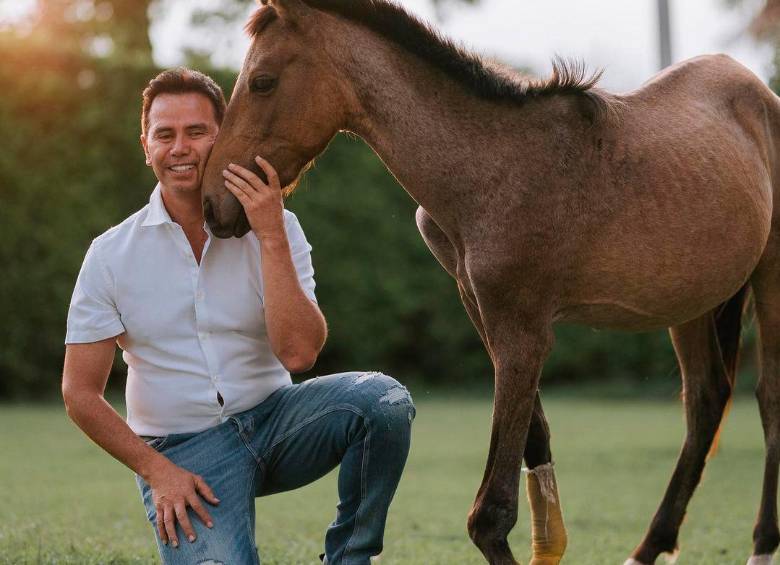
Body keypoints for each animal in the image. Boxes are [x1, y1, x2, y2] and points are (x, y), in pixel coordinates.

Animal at [200, 1, 780, 563]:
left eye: (263, 82)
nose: (212, 204)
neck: (488, 166)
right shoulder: (487, 314)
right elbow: (534, 437)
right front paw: (551, 545)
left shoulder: (523, 330)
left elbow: (490, 514)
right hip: (691, 302)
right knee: (705, 402)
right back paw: (649, 548)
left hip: (768, 280)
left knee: (767, 397)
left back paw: (761, 545)